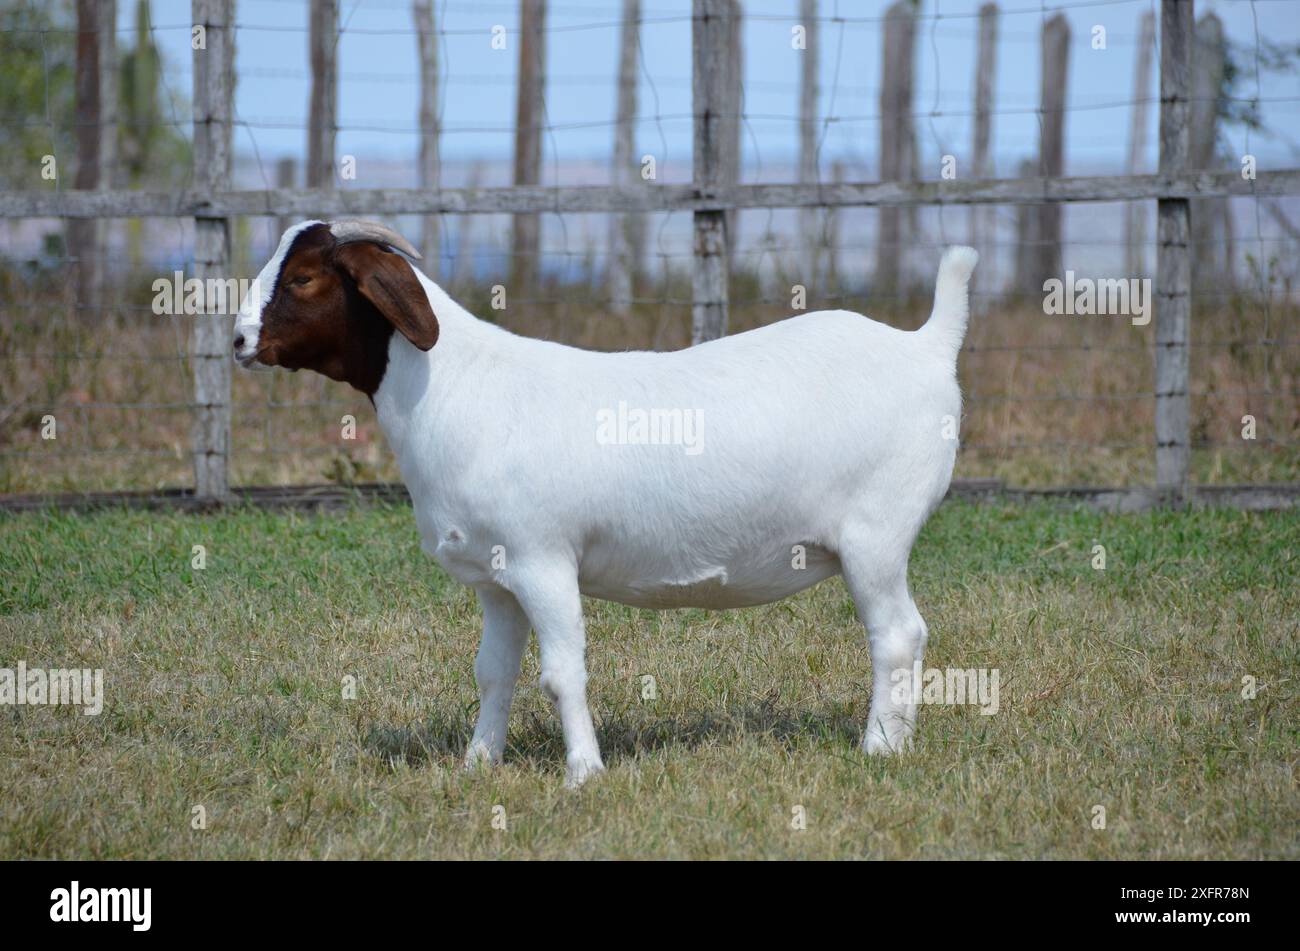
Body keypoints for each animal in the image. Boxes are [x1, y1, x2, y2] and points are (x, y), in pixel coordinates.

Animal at [235, 220, 978, 786]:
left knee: (898, 634)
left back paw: (880, 747)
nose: (238, 340)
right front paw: (479, 763)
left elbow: (562, 674)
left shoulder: (543, 560)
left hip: (876, 535)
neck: (453, 386)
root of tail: (926, 345)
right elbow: (493, 672)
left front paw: (584, 773)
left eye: (303, 279)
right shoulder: (498, 579)